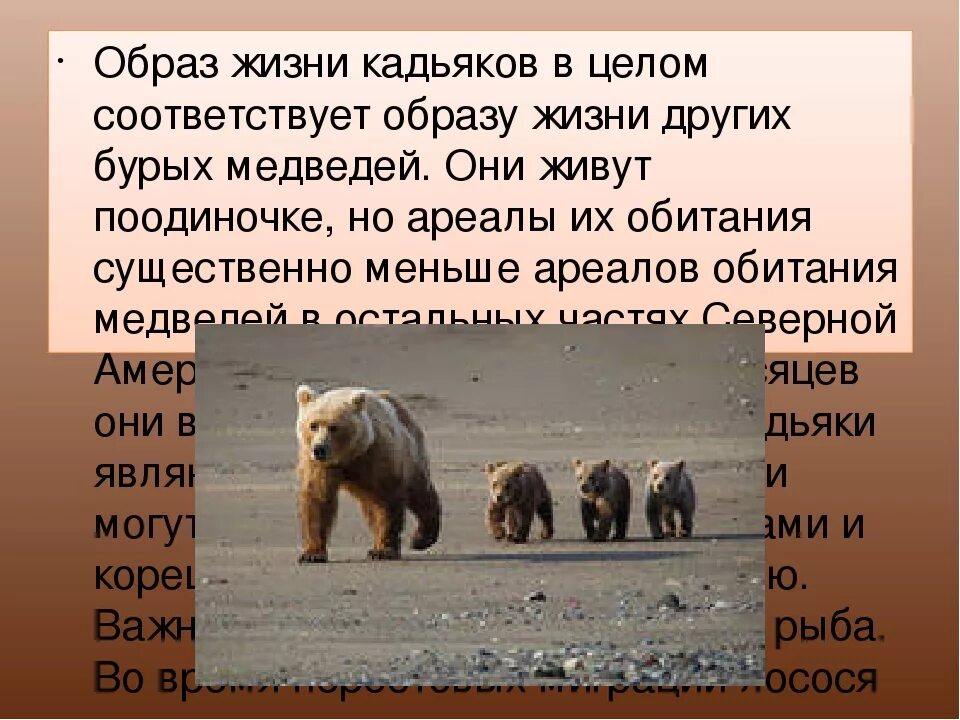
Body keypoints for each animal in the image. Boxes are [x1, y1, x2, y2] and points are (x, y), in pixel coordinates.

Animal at [296, 384, 441, 563]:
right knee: (370, 506)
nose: (319, 449)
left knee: (419, 492)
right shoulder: (318, 465)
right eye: (313, 425)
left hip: (411, 451)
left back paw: (422, 538)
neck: (349, 456)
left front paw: (383, 550)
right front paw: (312, 553)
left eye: (334, 427)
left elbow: (386, 501)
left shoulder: (377, 454)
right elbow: (318, 499)